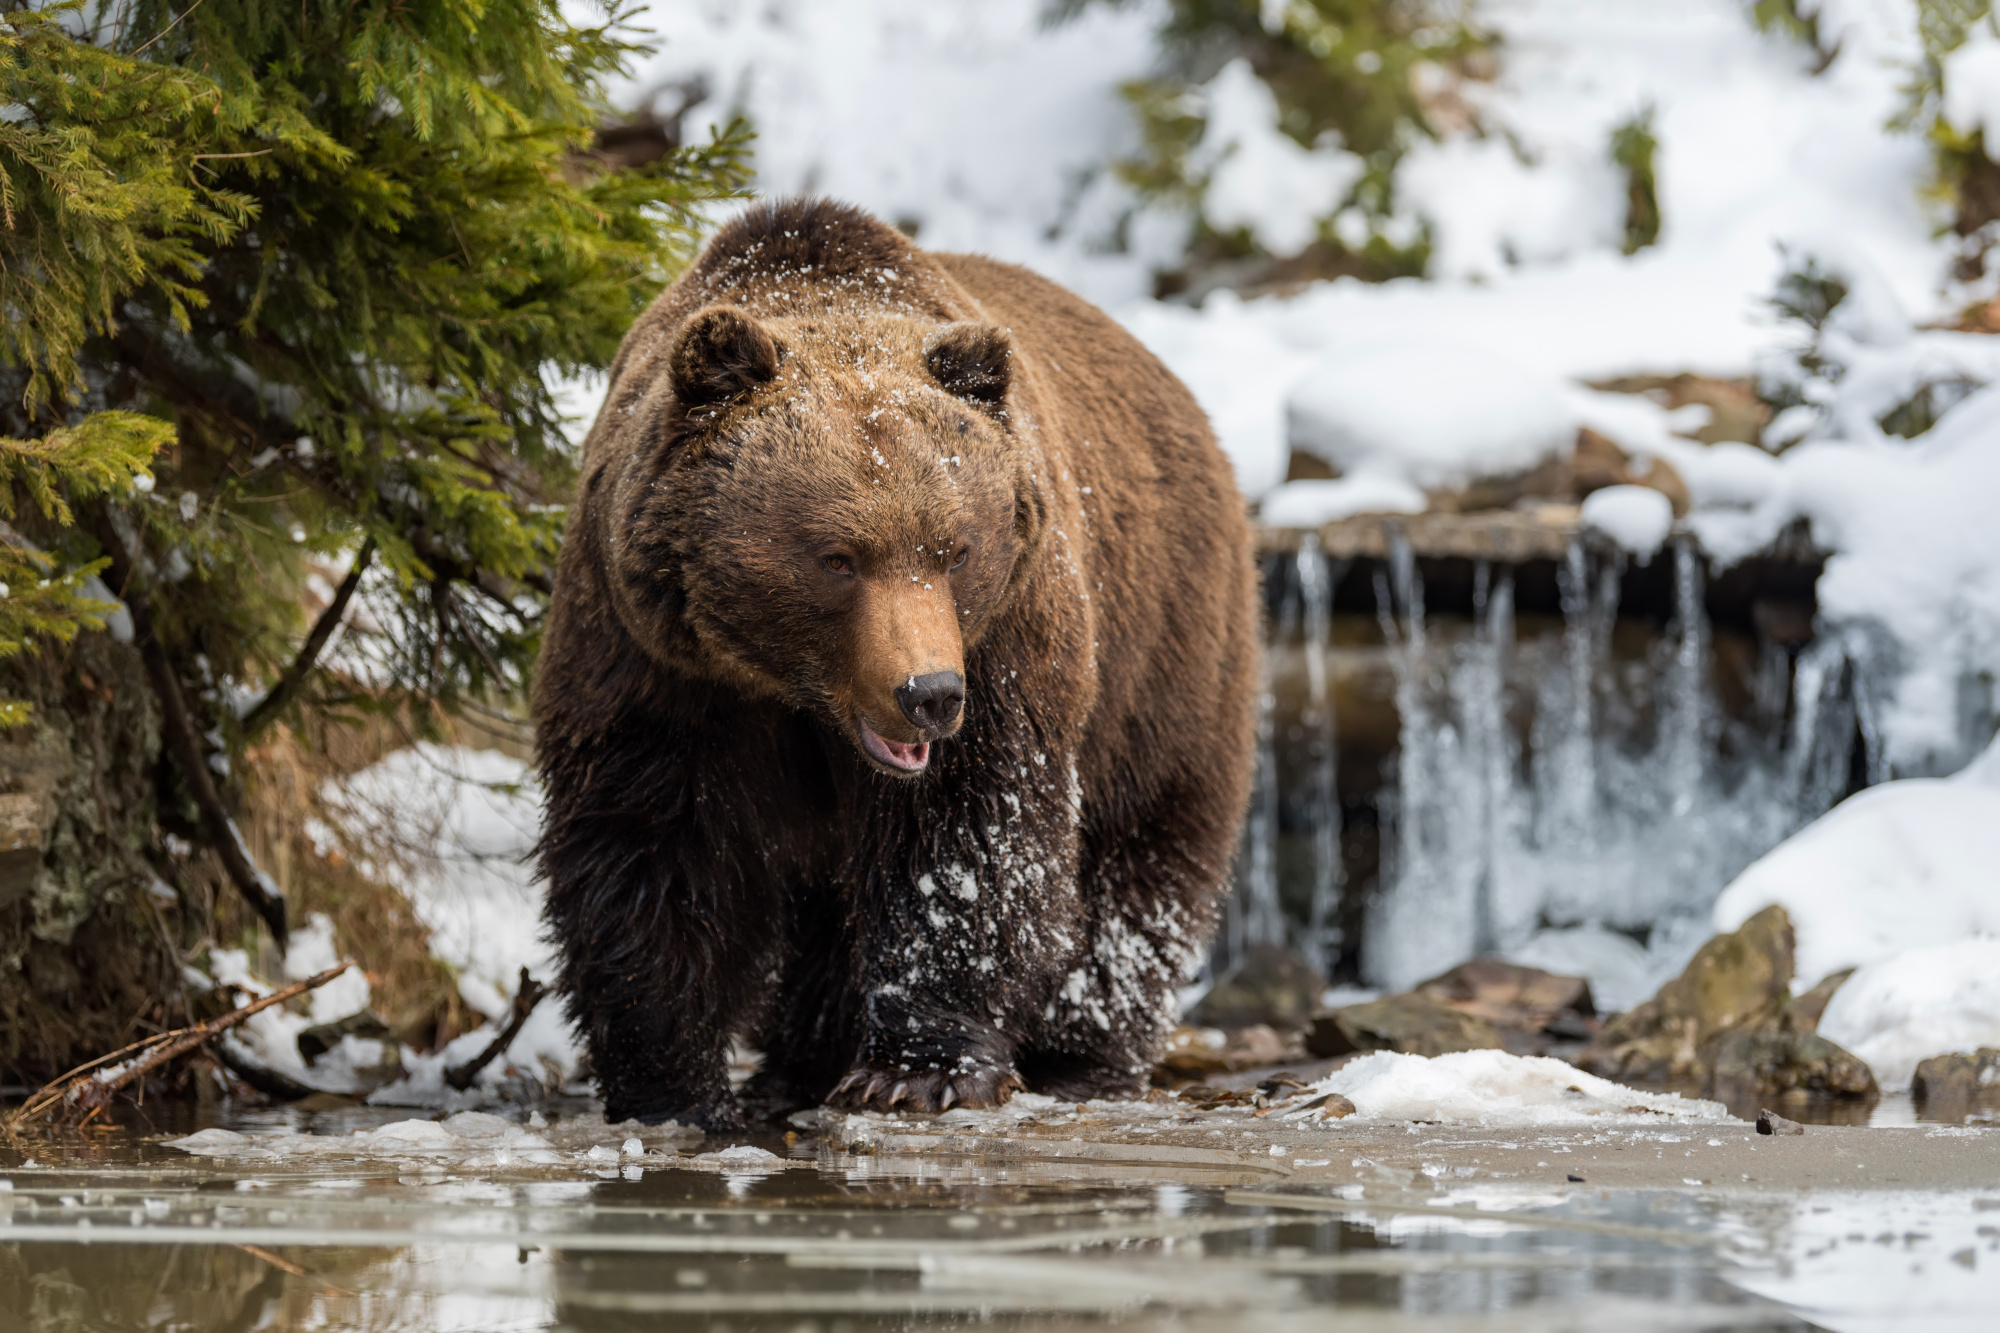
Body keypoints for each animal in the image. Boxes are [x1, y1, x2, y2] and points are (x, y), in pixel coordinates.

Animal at [534, 197, 1258, 1129]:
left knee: (1140, 852)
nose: (928, 694)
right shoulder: (653, 657)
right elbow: (653, 840)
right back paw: (800, 1060)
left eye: (955, 548)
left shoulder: (1006, 640)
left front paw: (919, 1069)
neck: (794, 692)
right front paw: (673, 1085)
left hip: (1165, 648)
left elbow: (965, 839)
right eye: (837, 557)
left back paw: (1081, 1055)